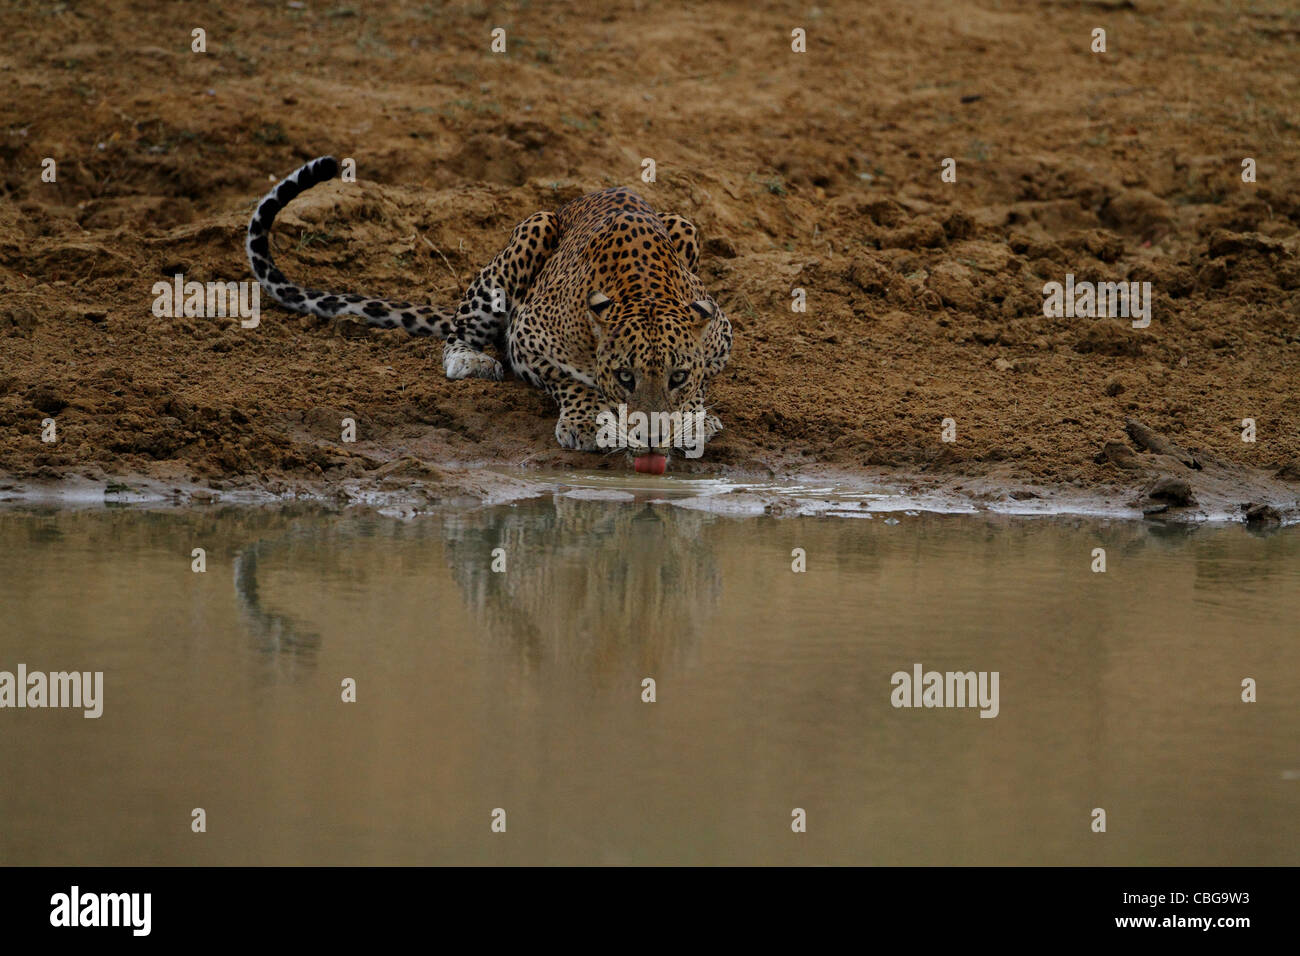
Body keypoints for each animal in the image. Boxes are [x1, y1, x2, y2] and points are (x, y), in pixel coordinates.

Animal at [245, 156, 732, 461]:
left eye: (677, 377)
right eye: (625, 377)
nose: (651, 438)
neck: (643, 289)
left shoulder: (720, 336)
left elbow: (702, 378)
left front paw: (692, 420)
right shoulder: (527, 341)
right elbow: (572, 383)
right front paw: (586, 420)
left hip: (683, 223)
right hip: (532, 230)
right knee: (458, 334)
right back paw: (469, 359)